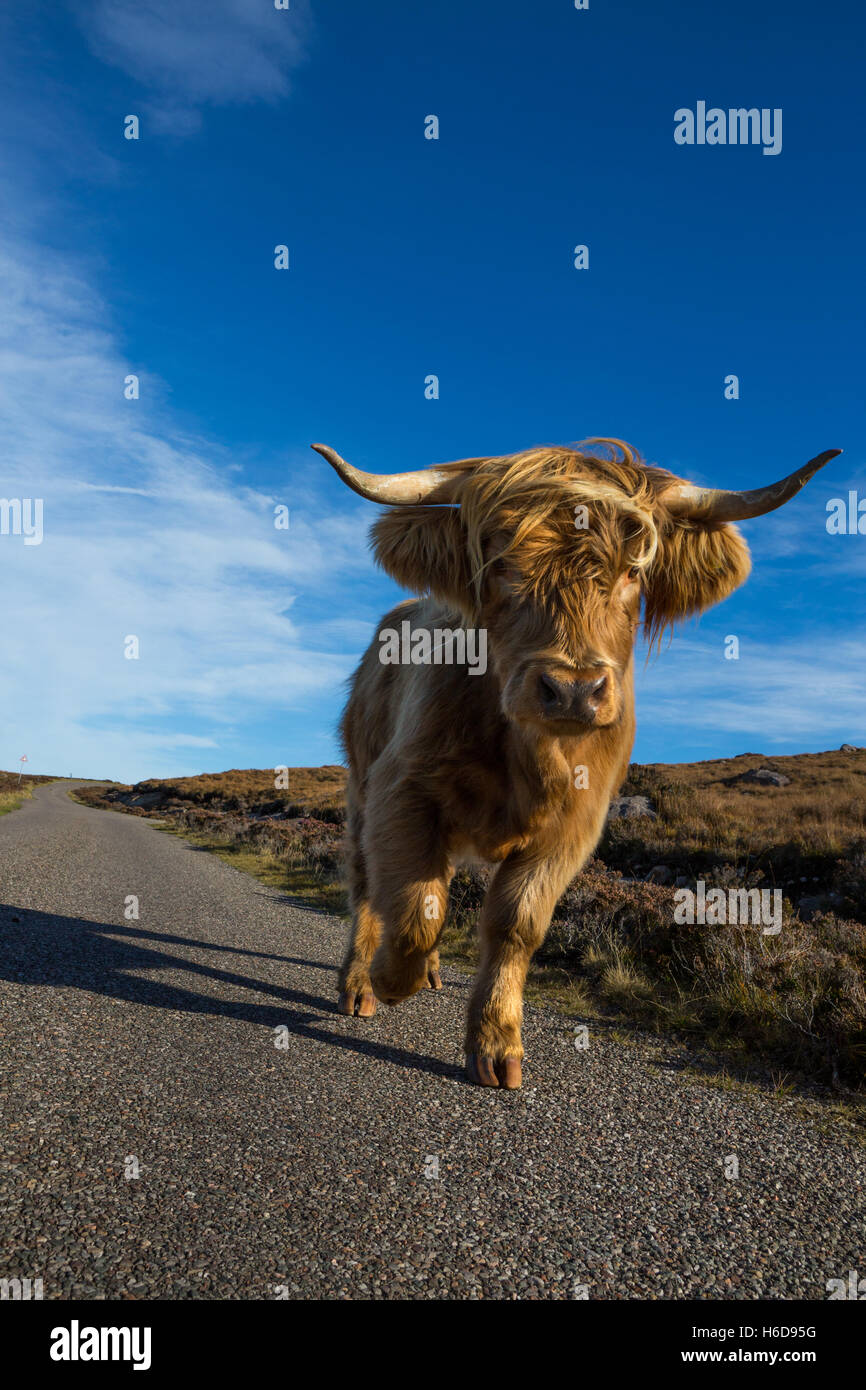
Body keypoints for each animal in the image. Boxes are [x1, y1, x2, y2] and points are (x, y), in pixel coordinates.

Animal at [313, 438, 839, 1089]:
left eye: (633, 571)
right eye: (502, 566)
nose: (571, 690)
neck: (532, 753)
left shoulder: (574, 827)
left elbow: (514, 924)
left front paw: (497, 1045)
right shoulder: (403, 790)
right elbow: (415, 908)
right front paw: (390, 980)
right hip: (362, 784)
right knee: (367, 883)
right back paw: (360, 983)